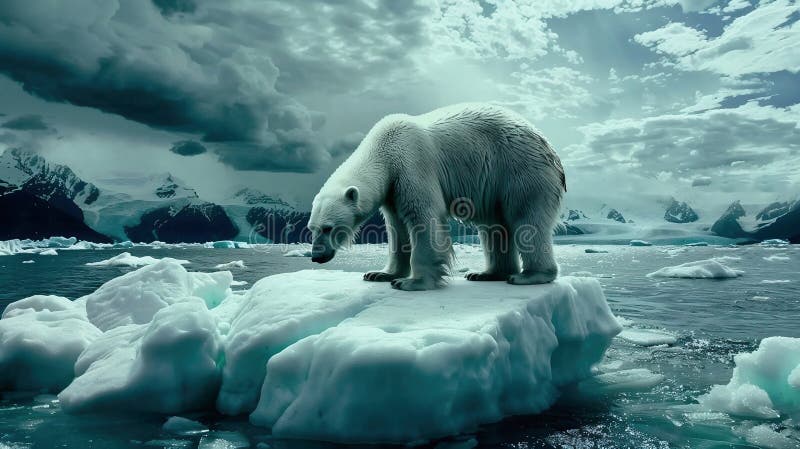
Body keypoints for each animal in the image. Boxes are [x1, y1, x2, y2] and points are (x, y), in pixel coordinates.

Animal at [307, 103, 566, 291]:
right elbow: (397, 228)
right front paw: (379, 273)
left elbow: (423, 218)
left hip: (520, 171)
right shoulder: (392, 189)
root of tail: (550, 149)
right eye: (312, 228)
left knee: (526, 219)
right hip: (495, 185)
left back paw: (529, 276)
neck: (384, 150)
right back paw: (486, 273)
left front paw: (411, 282)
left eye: (328, 228)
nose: (316, 256)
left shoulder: (411, 165)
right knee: (494, 226)